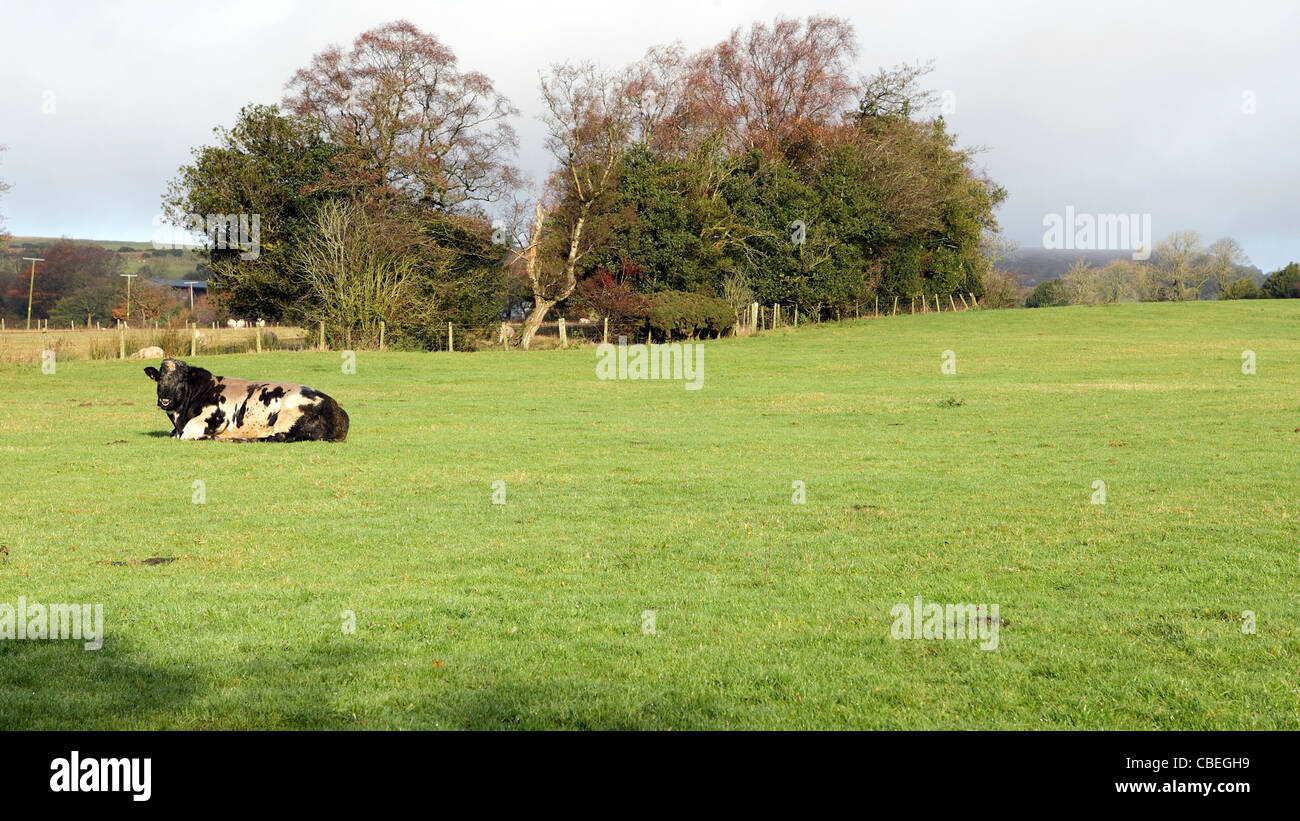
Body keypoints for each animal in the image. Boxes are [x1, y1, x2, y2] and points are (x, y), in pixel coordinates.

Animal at [143, 358, 348, 442]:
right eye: (159, 379)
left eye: (181, 380)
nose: (165, 400)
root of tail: (336, 408)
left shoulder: (215, 419)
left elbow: (186, 435)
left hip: (287, 418)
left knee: (278, 437)